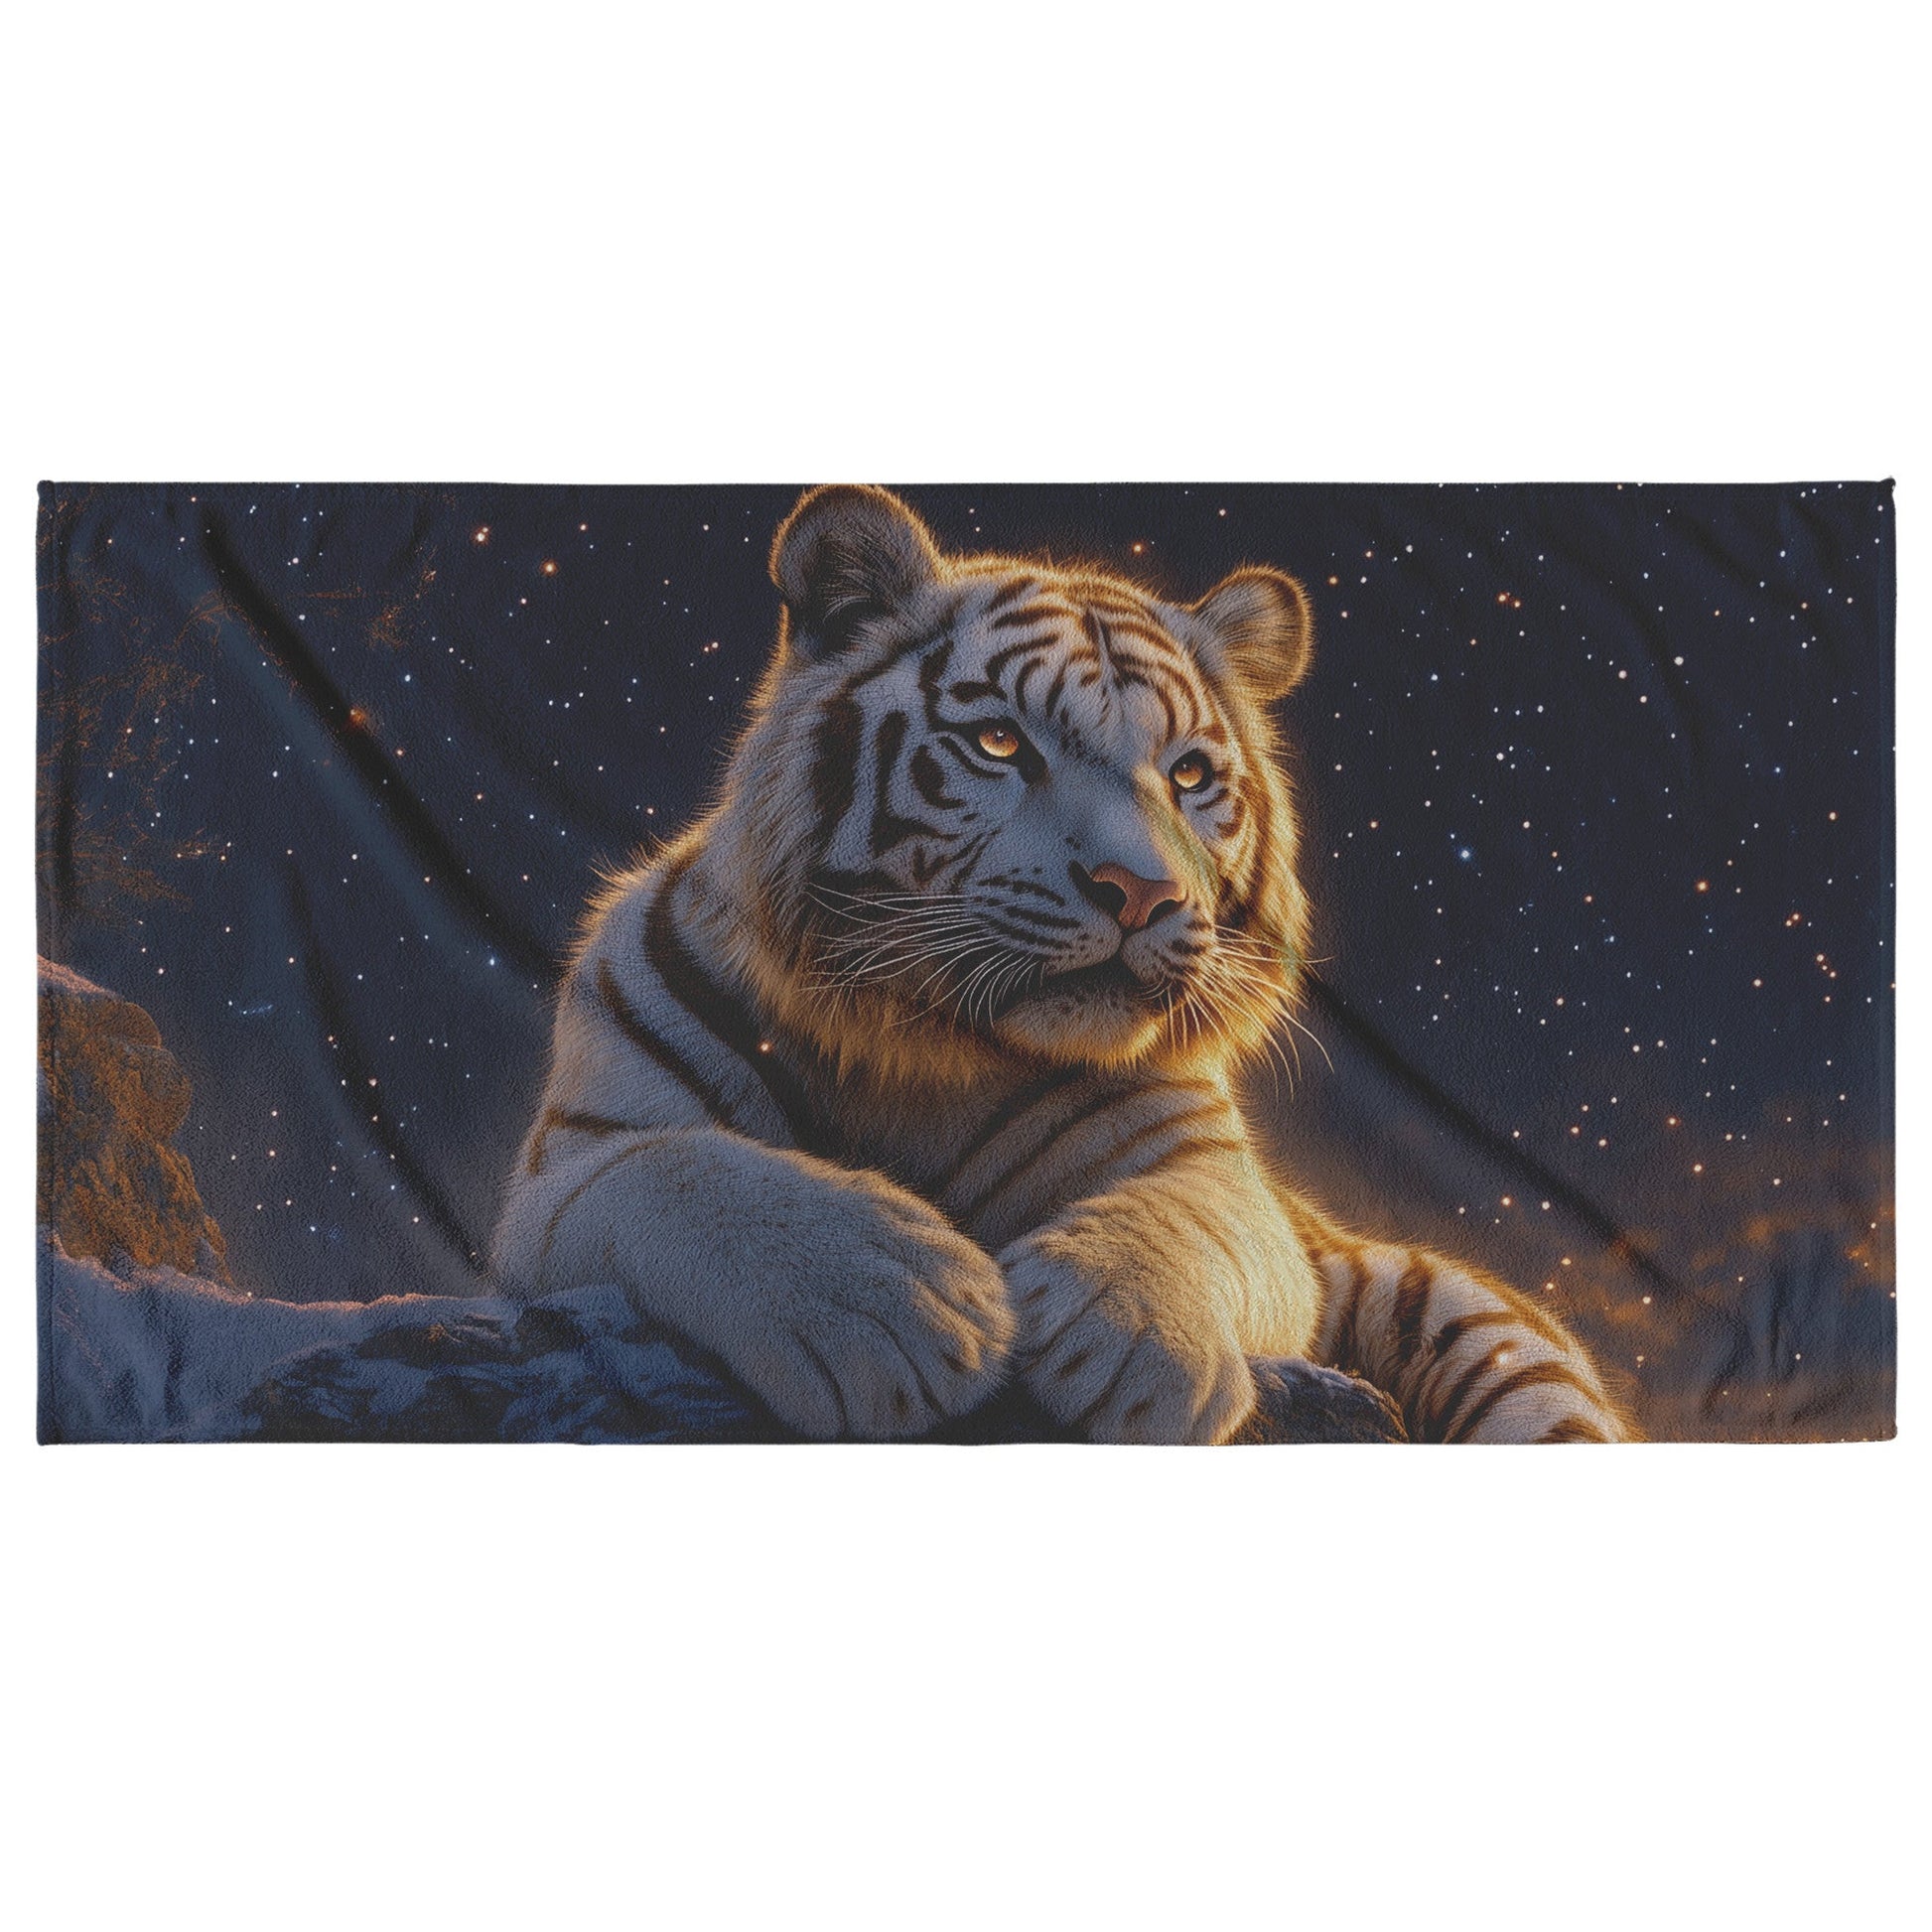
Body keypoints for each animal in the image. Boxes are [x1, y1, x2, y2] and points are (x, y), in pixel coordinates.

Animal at [490, 485, 1633, 1444]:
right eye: (1000, 744)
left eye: (1189, 774)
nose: (1141, 893)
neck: (924, 1049)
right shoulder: (566, 1172)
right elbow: (686, 1171)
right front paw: (892, 1307)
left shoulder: (1221, 1172)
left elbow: (1190, 1217)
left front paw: (1130, 1333)